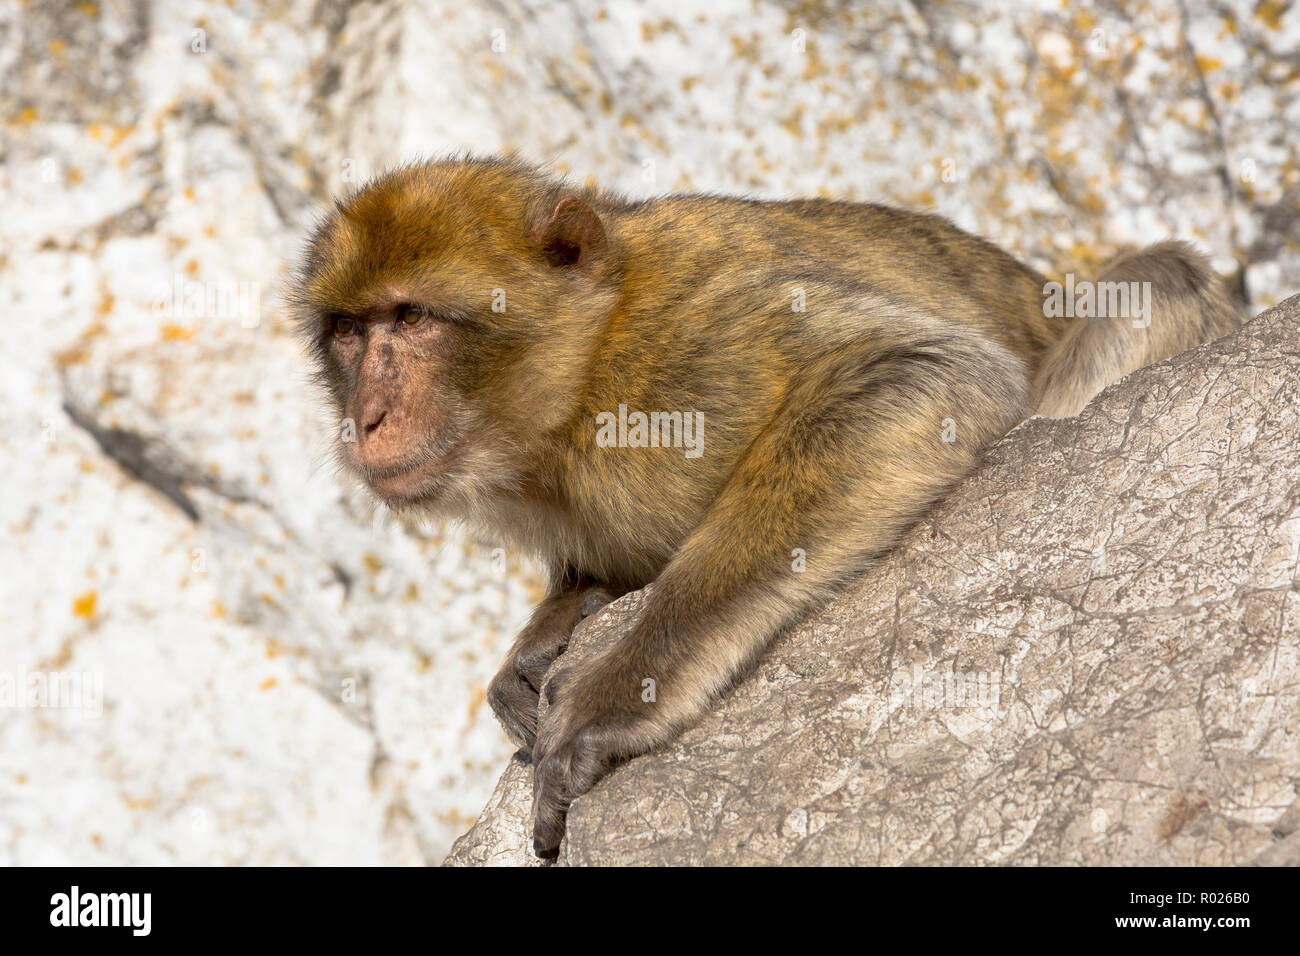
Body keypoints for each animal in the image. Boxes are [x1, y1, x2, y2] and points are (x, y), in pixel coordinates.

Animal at [293, 156, 1239, 858]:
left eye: (412, 318)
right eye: (349, 331)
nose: (365, 418)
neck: (583, 373)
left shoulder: (694, 346)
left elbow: (918, 372)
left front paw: (615, 693)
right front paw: (552, 627)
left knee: (1159, 278)